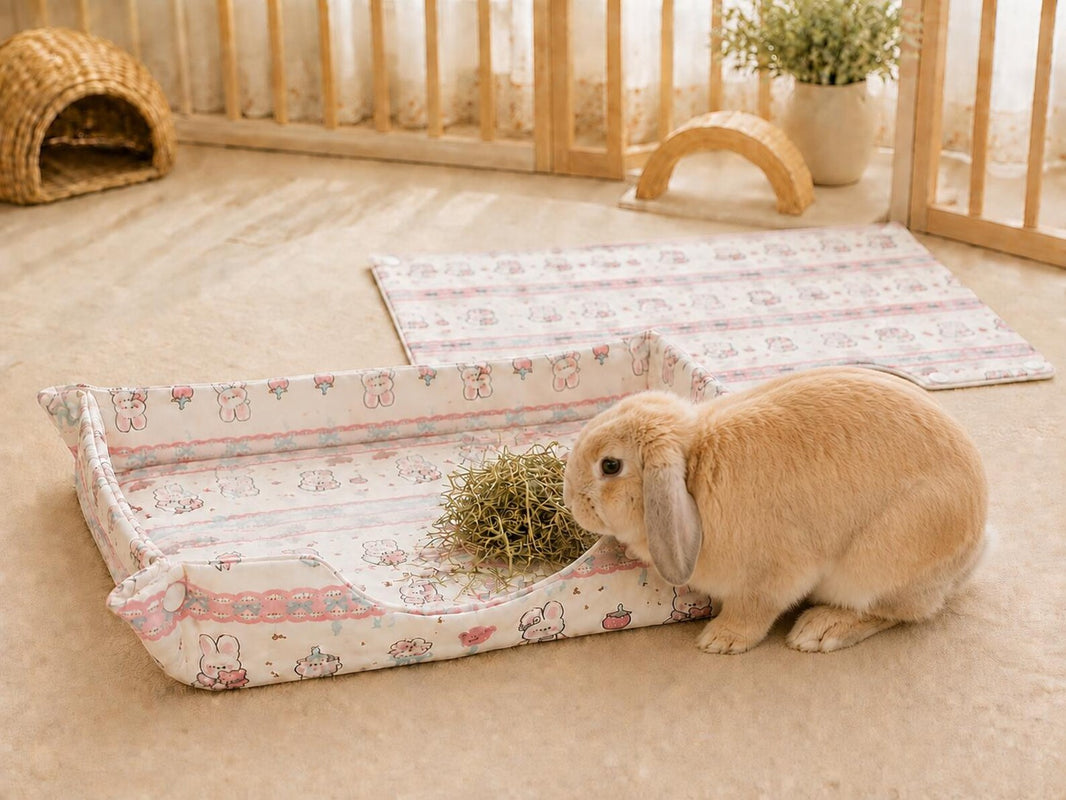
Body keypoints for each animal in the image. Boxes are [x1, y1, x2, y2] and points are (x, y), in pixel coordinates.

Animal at [562, 367, 988, 654]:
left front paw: (720, 640)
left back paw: (819, 630)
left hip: (878, 566)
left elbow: (754, 611)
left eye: (610, 466)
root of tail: (971, 558)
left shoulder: (771, 575)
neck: (693, 472)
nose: (570, 501)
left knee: (897, 612)